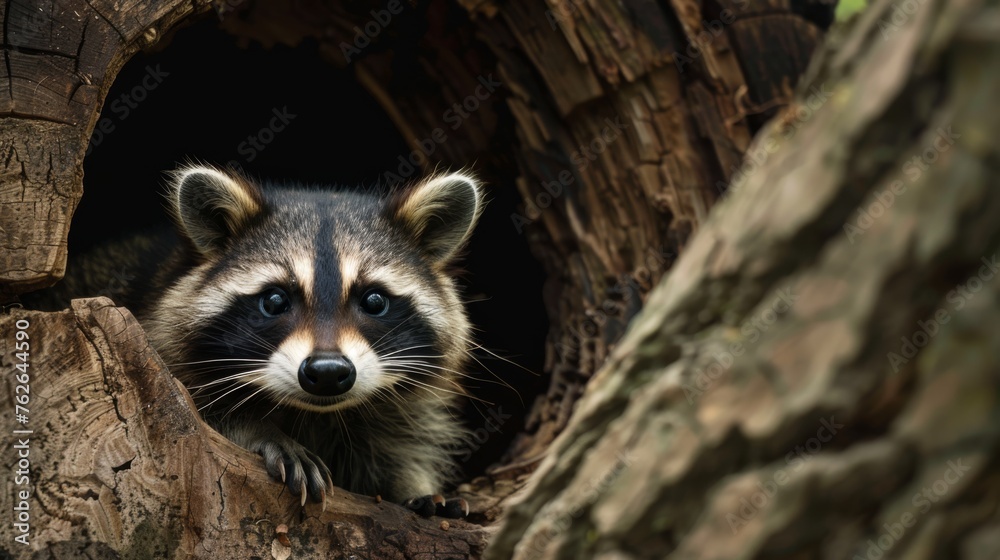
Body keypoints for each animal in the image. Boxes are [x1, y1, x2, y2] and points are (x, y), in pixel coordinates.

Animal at [30, 164, 482, 516]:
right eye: (275, 300)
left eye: (374, 301)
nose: (328, 372)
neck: (313, 413)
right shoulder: (154, 370)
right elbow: (196, 419)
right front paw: (259, 430)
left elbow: (399, 446)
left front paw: (415, 489)